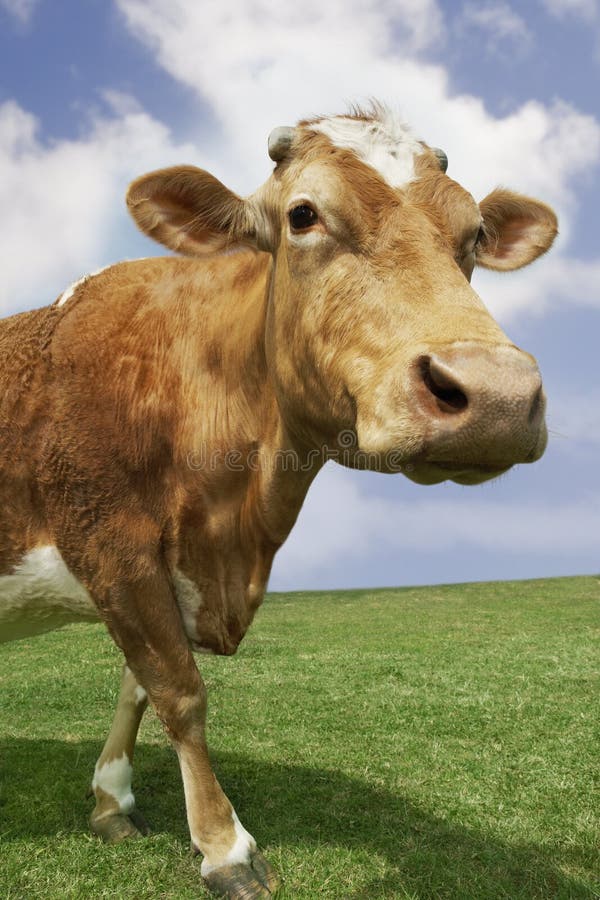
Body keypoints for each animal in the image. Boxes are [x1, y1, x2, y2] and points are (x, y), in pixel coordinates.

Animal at [0, 103, 557, 898]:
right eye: (302, 215)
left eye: (475, 232)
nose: (498, 397)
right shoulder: (110, 545)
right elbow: (179, 691)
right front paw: (224, 847)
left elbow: (138, 685)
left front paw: (112, 800)